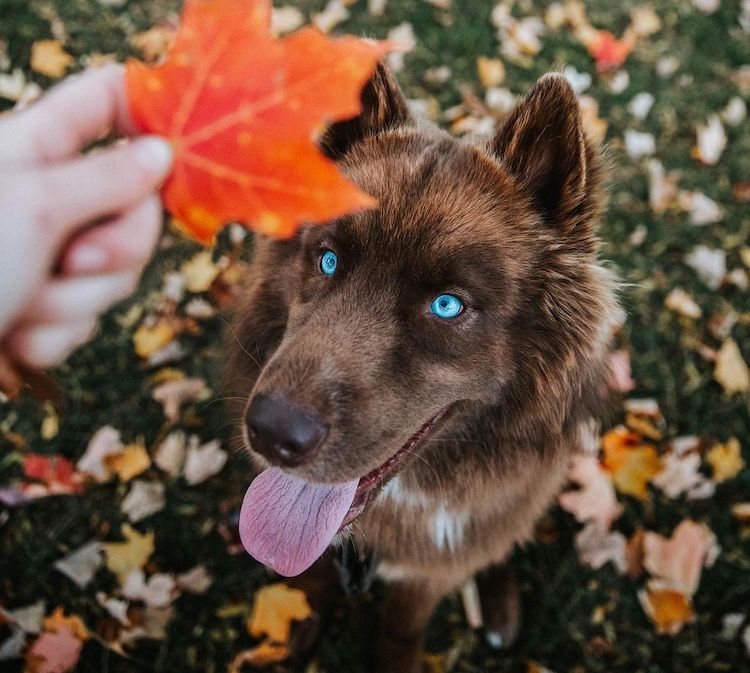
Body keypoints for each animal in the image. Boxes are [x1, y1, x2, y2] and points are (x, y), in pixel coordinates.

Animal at [225, 63, 618, 672]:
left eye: (447, 305)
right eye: (327, 259)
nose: (270, 433)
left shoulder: (432, 566)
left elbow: (402, 625)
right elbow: (310, 582)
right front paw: (295, 626)